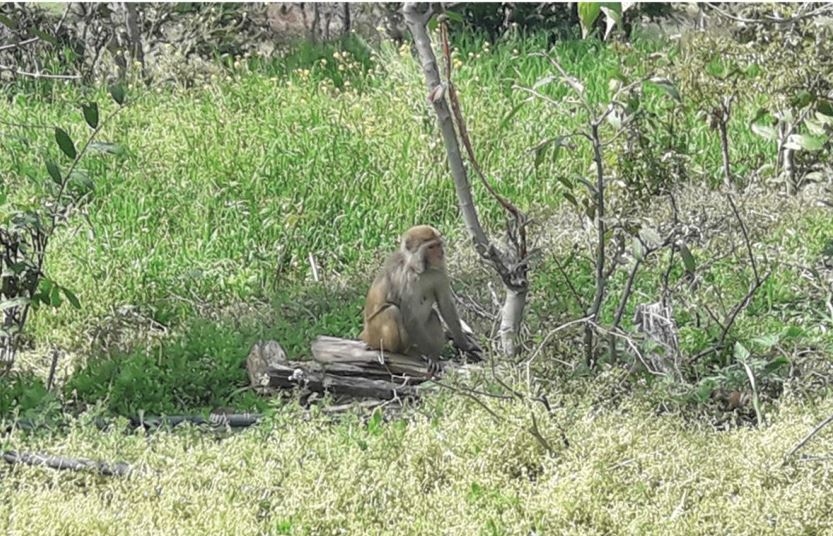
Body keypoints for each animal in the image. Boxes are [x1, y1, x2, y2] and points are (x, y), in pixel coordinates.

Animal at [360, 225, 482, 366]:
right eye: (431, 247)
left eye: (439, 244)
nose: (441, 253)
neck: (420, 269)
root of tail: (365, 334)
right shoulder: (405, 279)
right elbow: (410, 317)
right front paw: (432, 357)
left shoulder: (439, 271)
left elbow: (445, 305)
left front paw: (465, 345)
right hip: (374, 334)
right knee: (392, 311)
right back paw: (399, 351)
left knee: (433, 315)